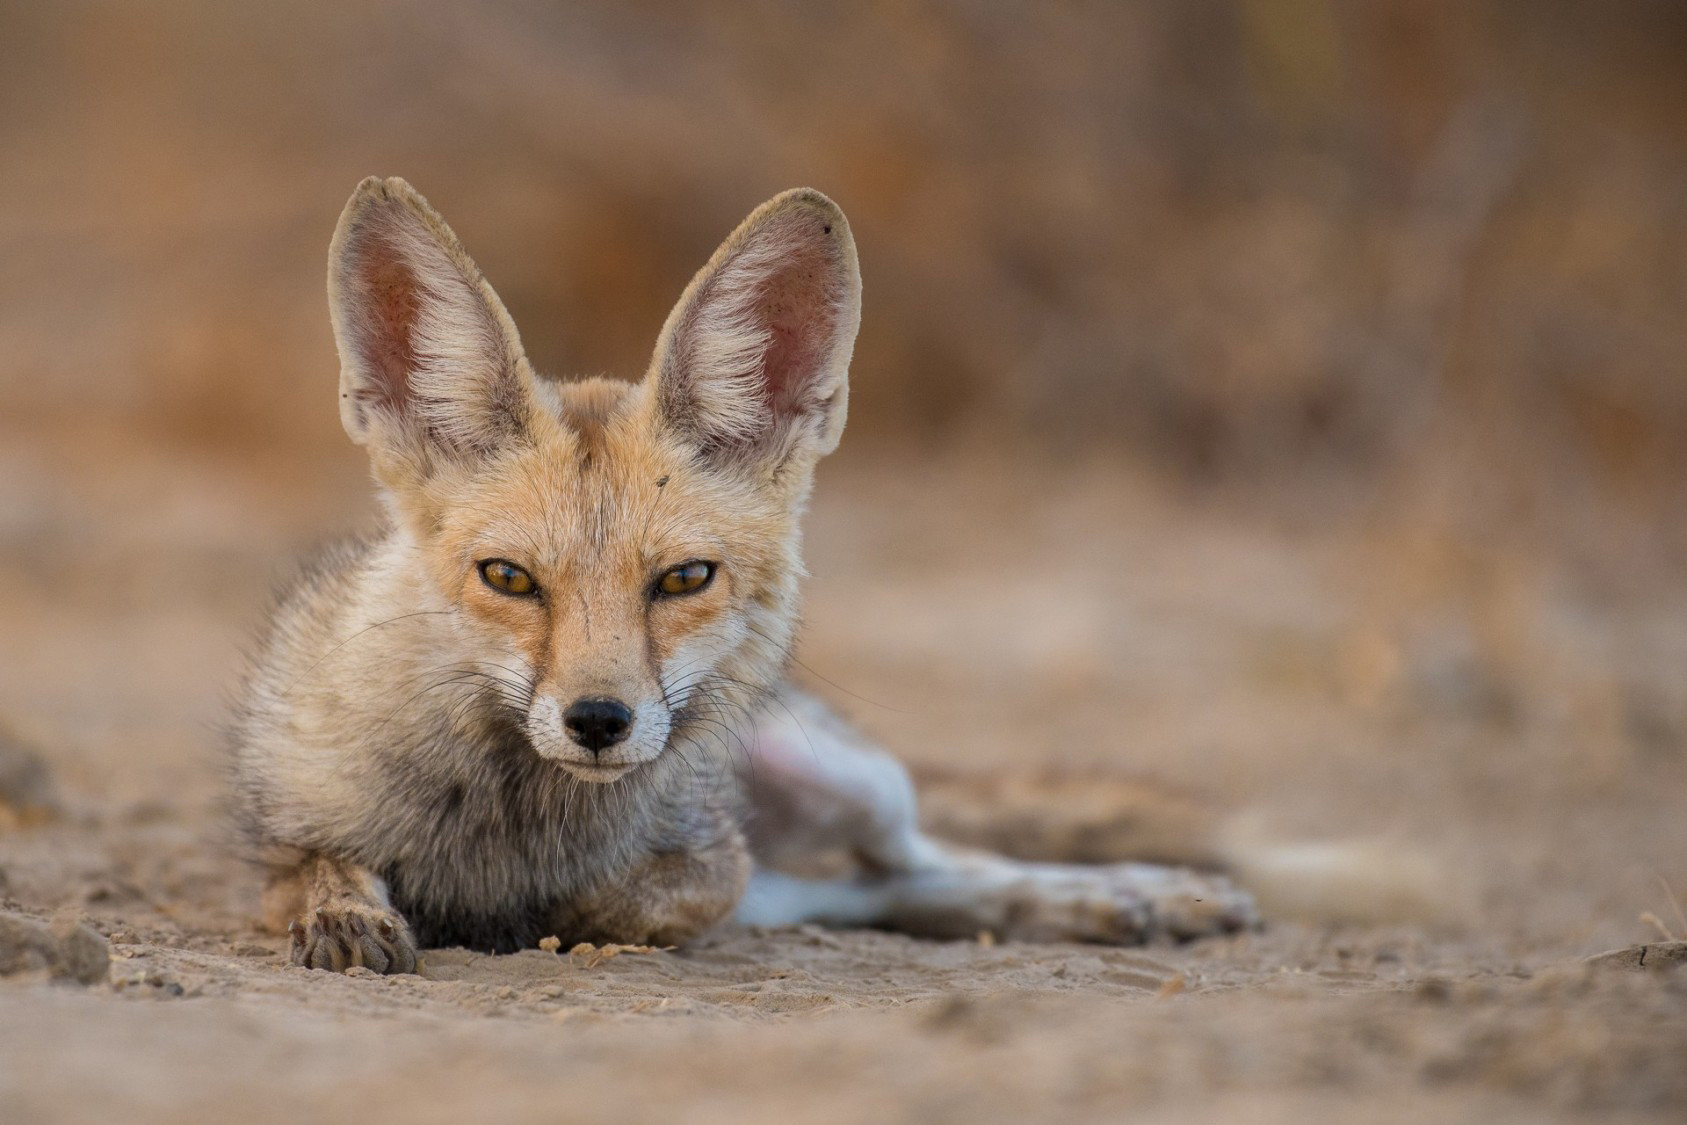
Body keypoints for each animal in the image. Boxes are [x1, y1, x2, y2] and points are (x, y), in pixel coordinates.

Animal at [227, 178, 1263, 975]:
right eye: (508, 577)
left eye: (684, 578)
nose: (598, 721)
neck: (514, 824)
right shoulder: (275, 837)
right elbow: (323, 869)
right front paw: (352, 914)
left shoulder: (711, 853)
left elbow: (654, 895)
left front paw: (550, 917)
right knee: (895, 887)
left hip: (851, 781)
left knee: (935, 857)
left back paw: (1130, 897)